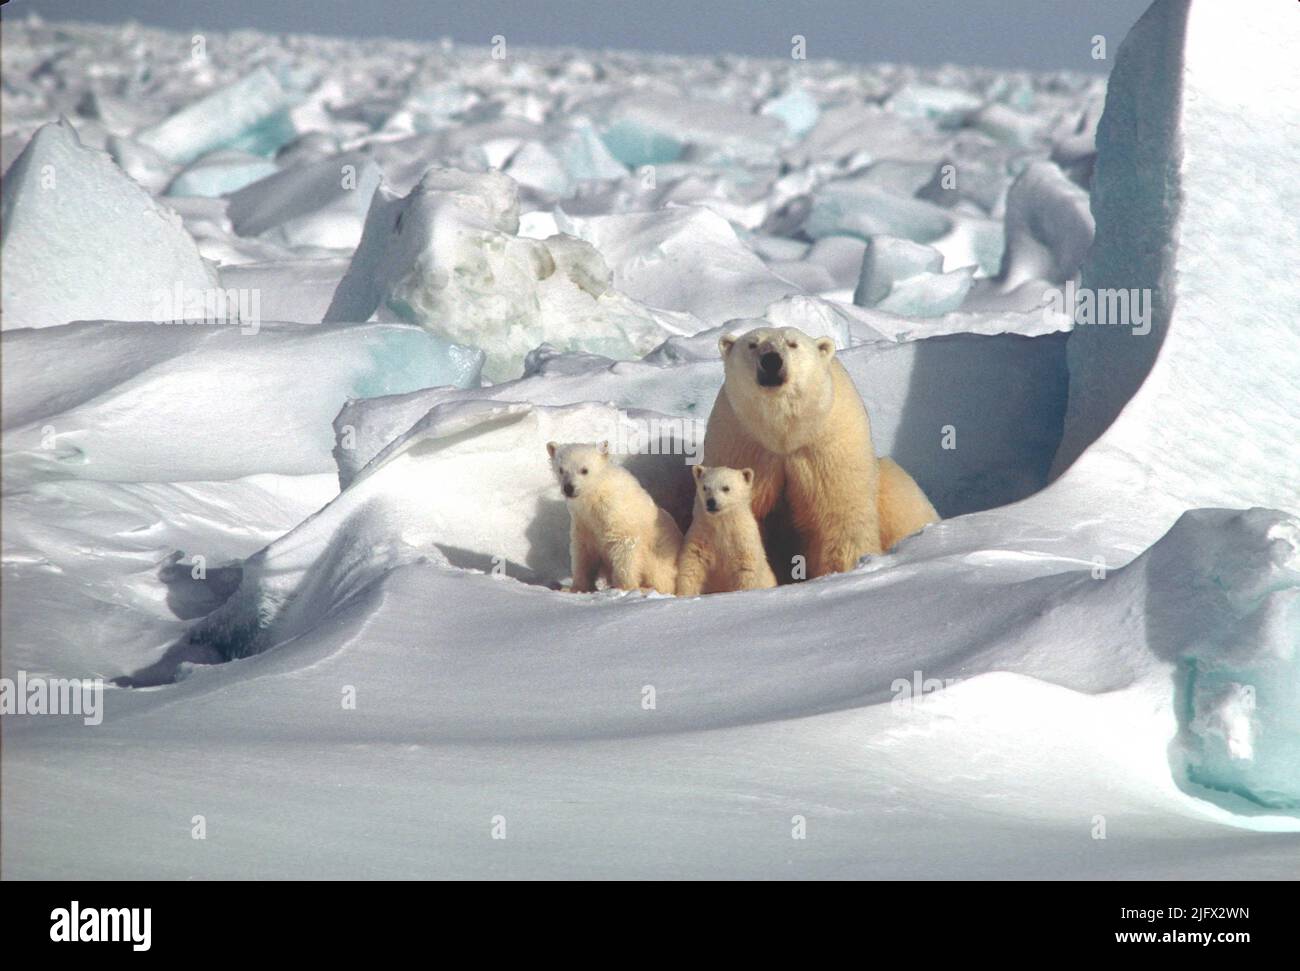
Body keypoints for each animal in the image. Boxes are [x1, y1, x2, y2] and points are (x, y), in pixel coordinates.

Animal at [547, 440, 683, 594]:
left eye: (584, 470)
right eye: (561, 469)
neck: (596, 495)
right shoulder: (582, 520)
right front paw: (574, 588)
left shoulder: (616, 513)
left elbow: (626, 546)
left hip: (660, 554)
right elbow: (583, 551)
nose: (568, 488)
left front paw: (625, 587)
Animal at [676, 465, 778, 596]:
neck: (722, 524)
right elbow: (692, 564)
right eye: (705, 487)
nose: (711, 502)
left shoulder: (742, 540)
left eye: (726, 488)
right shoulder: (701, 536)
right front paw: (684, 594)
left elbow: (746, 568)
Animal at [702, 325, 938, 579]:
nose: (772, 361)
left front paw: (841, 569)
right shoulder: (743, 444)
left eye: (793, 344)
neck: (784, 435)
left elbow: (838, 514)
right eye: (752, 344)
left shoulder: (826, 445)